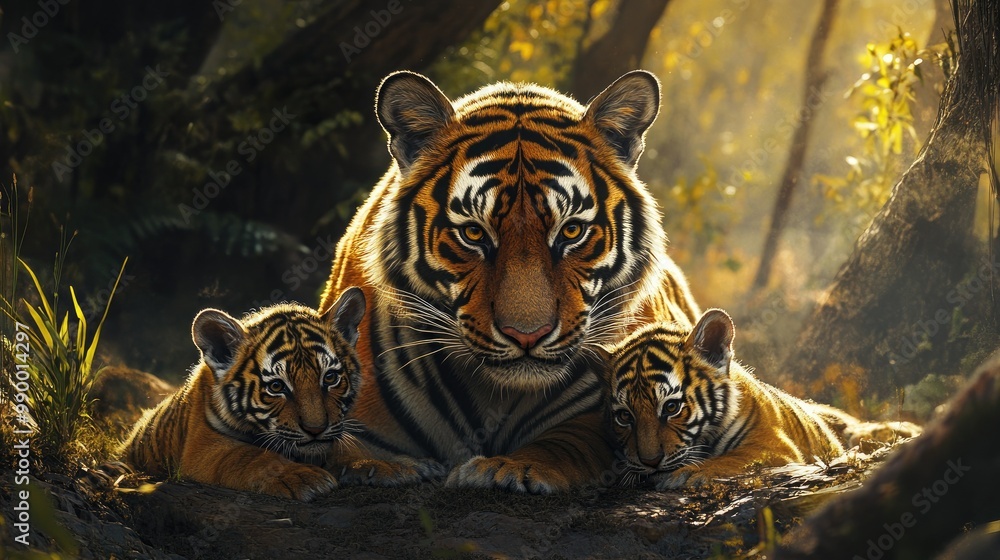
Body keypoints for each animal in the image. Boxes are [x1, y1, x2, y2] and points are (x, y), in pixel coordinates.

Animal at [121, 287, 366, 501]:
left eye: (330, 378)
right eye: (276, 387)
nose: (316, 429)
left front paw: (366, 466)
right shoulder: (203, 447)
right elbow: (250, 456)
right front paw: (303, 477)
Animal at [319, 70, 700, 493]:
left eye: (571, 231)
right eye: (473, 233)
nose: (527, 336)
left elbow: (567, 441)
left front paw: (508, 468)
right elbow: (339, 442)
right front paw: (379, 466)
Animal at [603, 308, 922, 489]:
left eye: (671, 407)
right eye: (624, 416)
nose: (650, 462)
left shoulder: (774, 447)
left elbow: (733, 458)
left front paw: (686, 475)